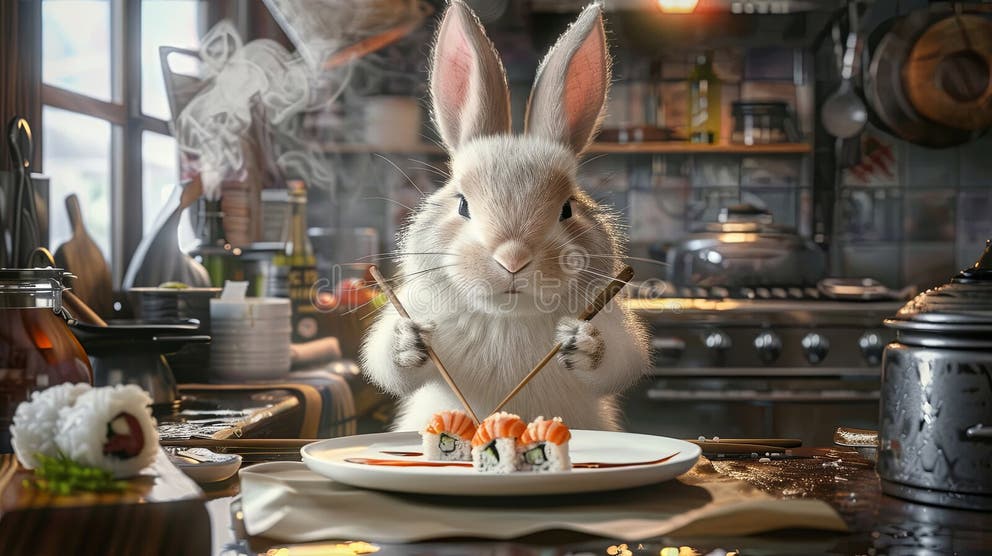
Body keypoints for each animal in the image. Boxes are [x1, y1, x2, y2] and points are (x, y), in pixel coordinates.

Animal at [361, 1, 649, 432]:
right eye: (462, 204)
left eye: (567, 208)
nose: (513, 259)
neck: (506, 318)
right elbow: (385, 362)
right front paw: (409, 340)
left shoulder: (617, 328)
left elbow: (617, 360)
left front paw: (581, 342)